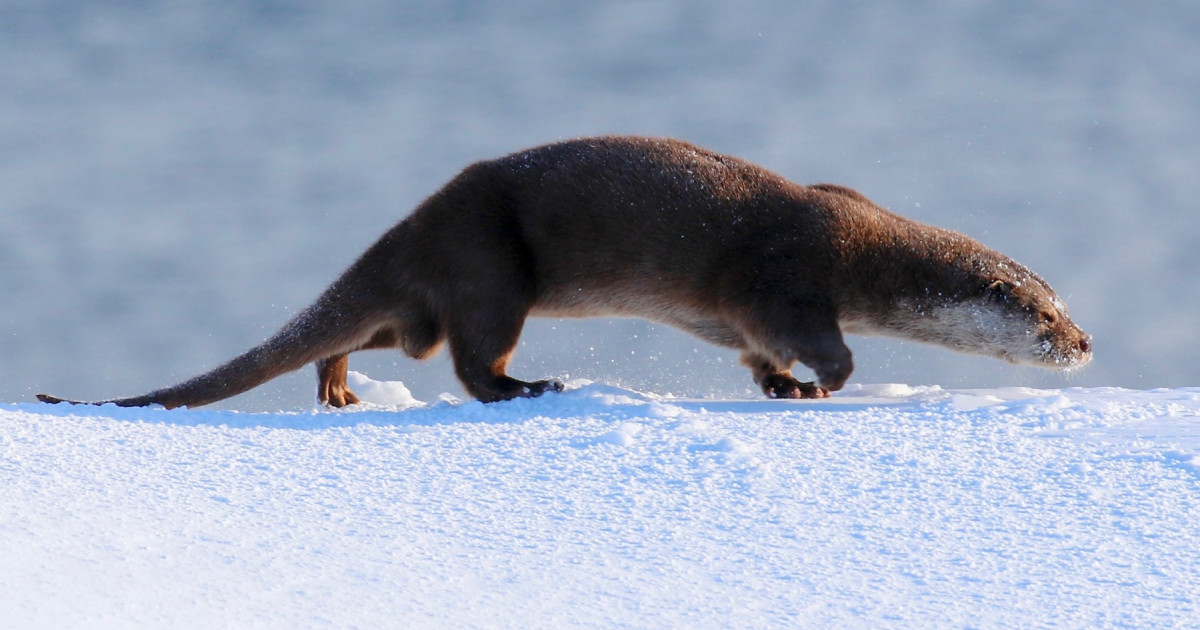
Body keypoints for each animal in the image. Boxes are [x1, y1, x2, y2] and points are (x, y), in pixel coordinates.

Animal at [37, 136, 1092, 409]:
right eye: (1047, 314)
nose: (1085, 343)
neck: (865, 243)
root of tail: (413, 226)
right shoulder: (787, 278)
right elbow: (811, 338)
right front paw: (822, 382)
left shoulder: (751, 316)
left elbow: (755, 355)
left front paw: (781, 388)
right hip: (490, 268)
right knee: (469, 363)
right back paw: (529, 386)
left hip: (424, 298)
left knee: (382, 337)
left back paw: (338, 387)